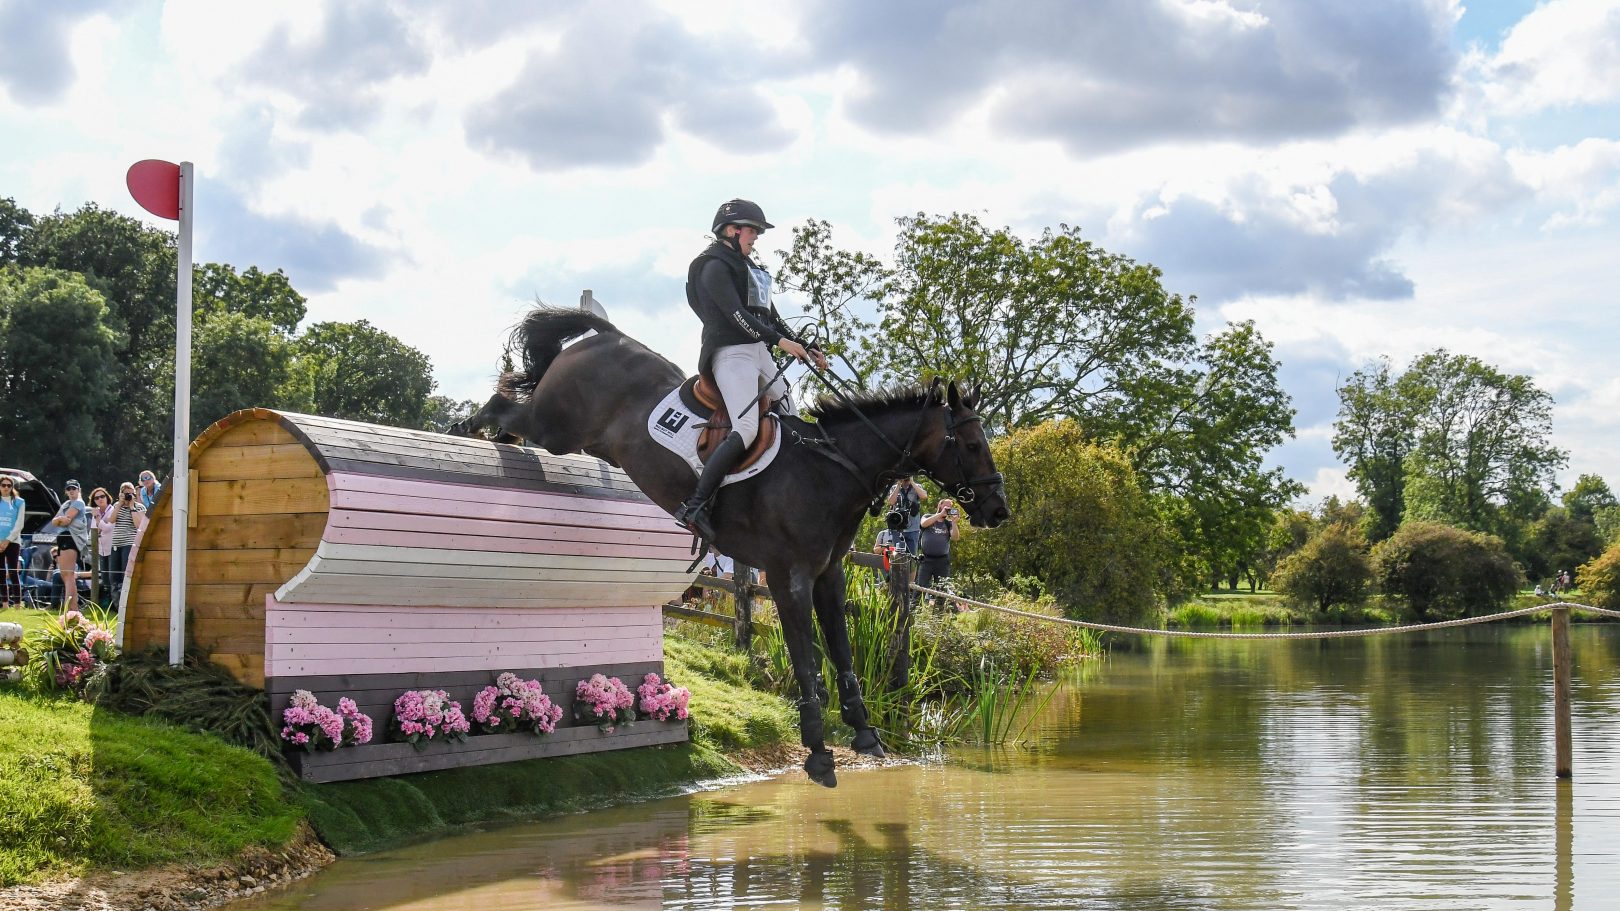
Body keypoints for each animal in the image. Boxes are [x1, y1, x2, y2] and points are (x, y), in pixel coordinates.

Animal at [452, 307, 1010, 787]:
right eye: (973, 445)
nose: (999, 511)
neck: (829, 469)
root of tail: (606, 337)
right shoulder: (789, 579)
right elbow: (807, 661)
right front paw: (818, 750)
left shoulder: (828, 576)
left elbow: (842, 652)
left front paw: (864, 731)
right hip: (557, 425)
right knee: (506, 406)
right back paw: (470, 431)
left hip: (571, 435)